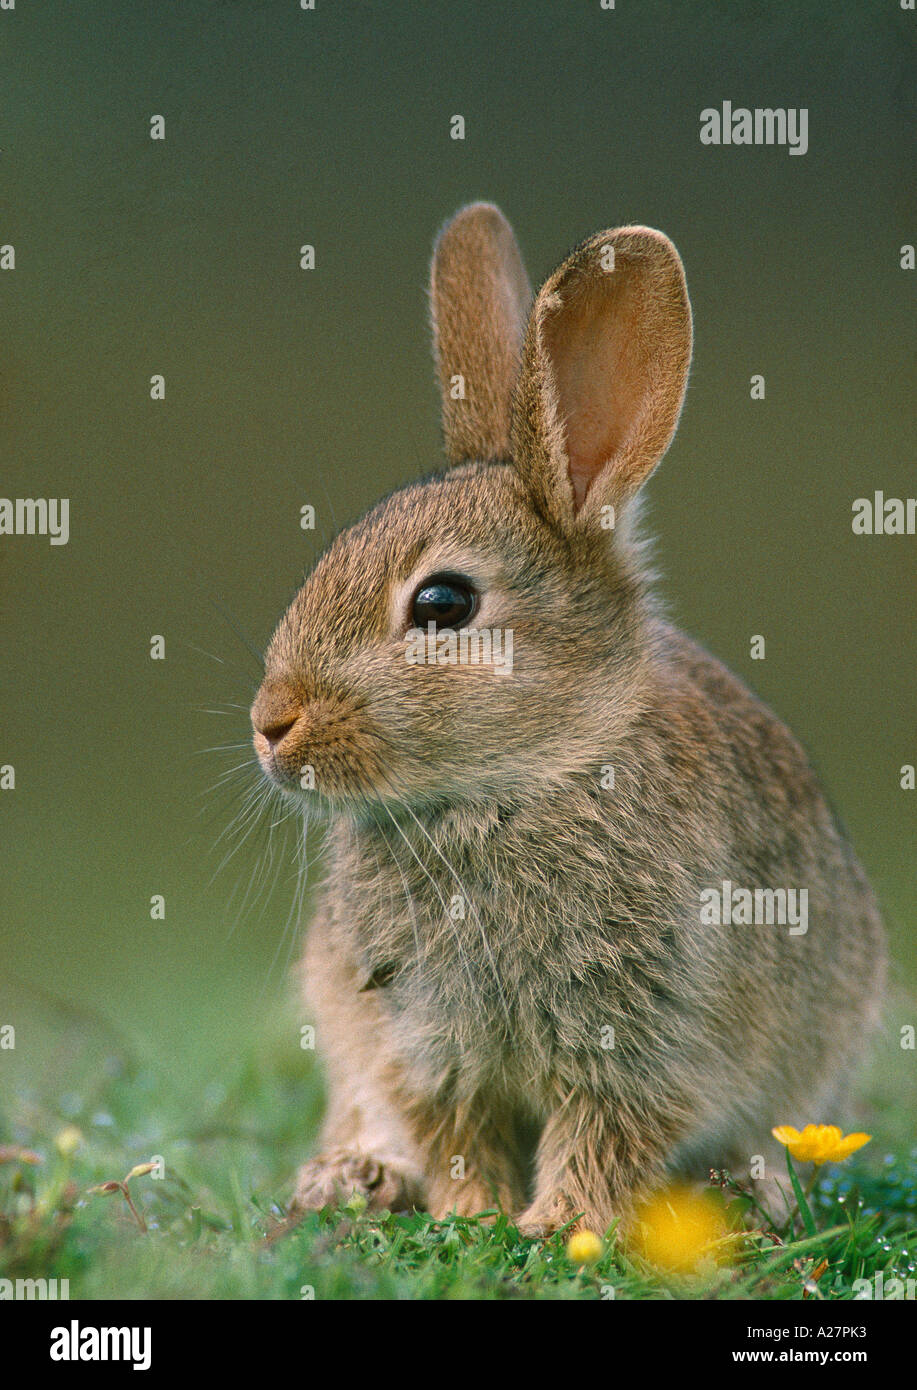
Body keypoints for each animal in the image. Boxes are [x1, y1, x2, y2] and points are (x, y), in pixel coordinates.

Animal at [249, 203, 886, 1237]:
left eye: (442, 604)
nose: (271, 726)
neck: (517, 784)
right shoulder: (420, 1041)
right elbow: (457, 1127)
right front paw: (472, 1218)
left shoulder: (648, 1033)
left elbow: (605, 1131)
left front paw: (558, 1227)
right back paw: (354, 1179)